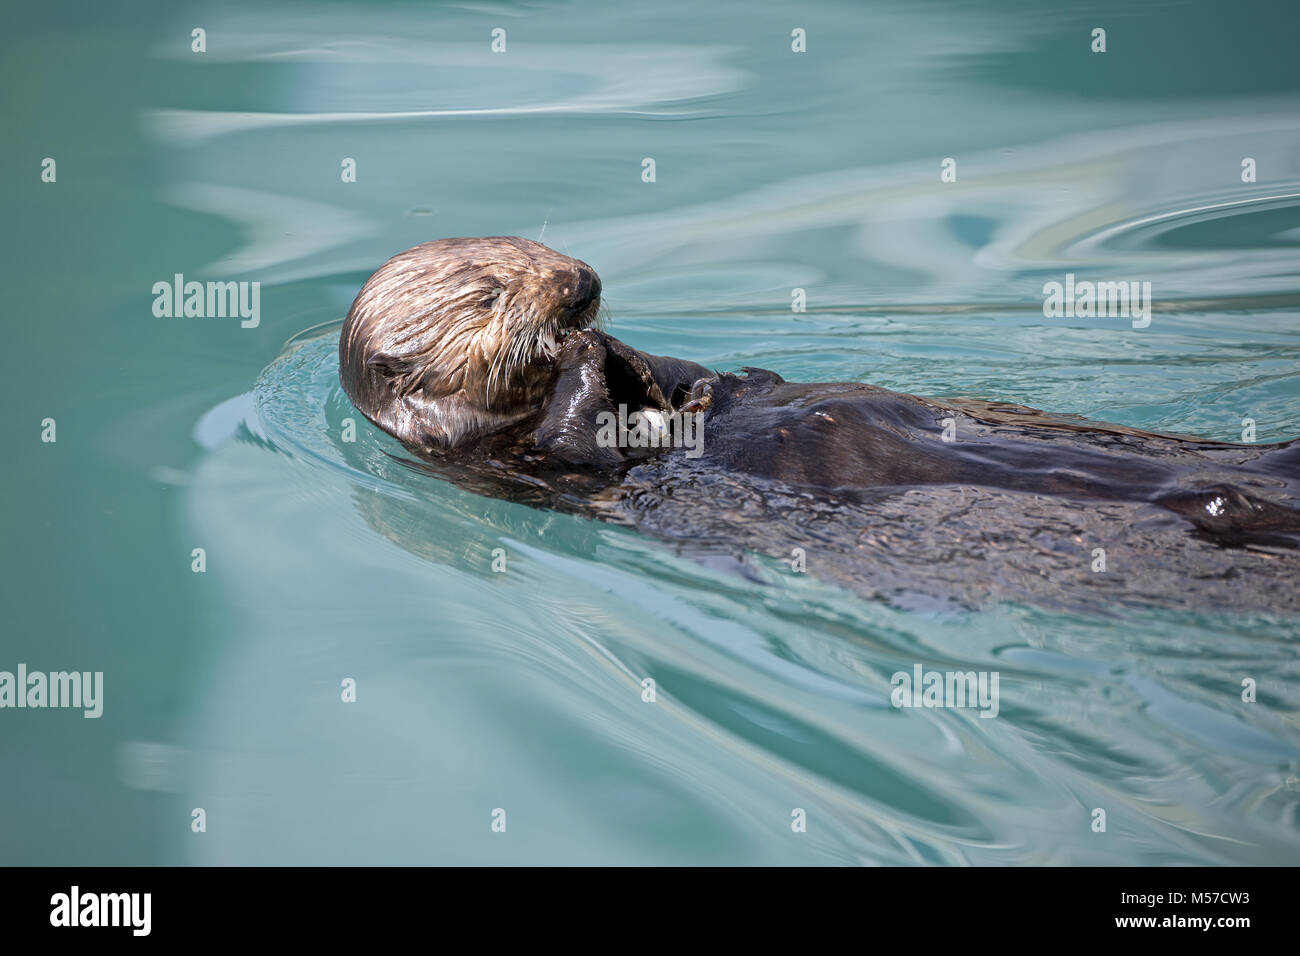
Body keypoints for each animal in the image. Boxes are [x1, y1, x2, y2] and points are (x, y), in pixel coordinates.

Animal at [340, 237, 1300, 611]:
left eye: (536, 248)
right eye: (486, 296)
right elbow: (577, 440)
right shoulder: (513, 462)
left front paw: (638, 360)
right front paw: (585, 358)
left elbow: (702, 384)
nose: (582, 285)